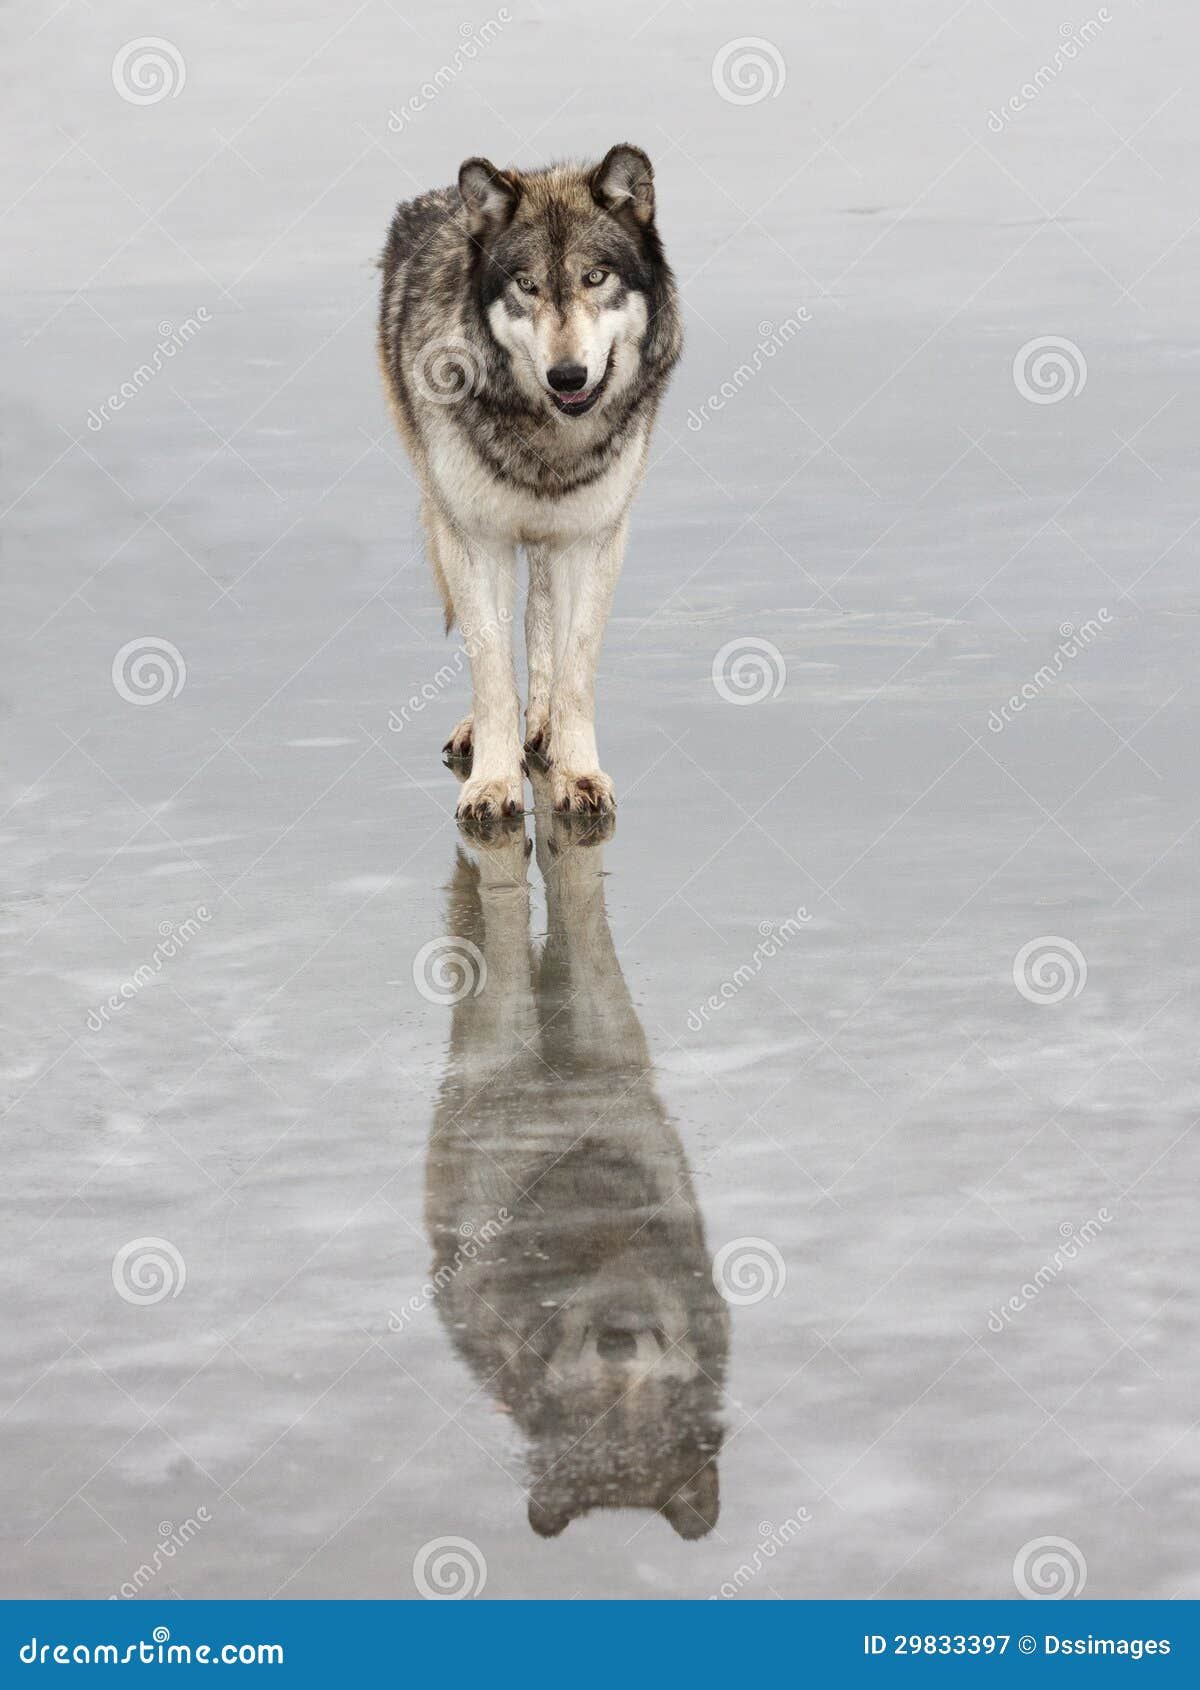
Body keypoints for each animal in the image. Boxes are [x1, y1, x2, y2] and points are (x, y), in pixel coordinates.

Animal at [378, 145, 682, 822]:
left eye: (595, 278)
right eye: (527, 286)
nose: (567, 376)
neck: (548, 437)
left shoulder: (593, 538)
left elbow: (575, 668)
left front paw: (577, 771)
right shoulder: (474, 539)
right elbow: (491, 668)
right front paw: (493, 782)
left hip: (550, 538)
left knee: (539, 615)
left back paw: (541, 729)